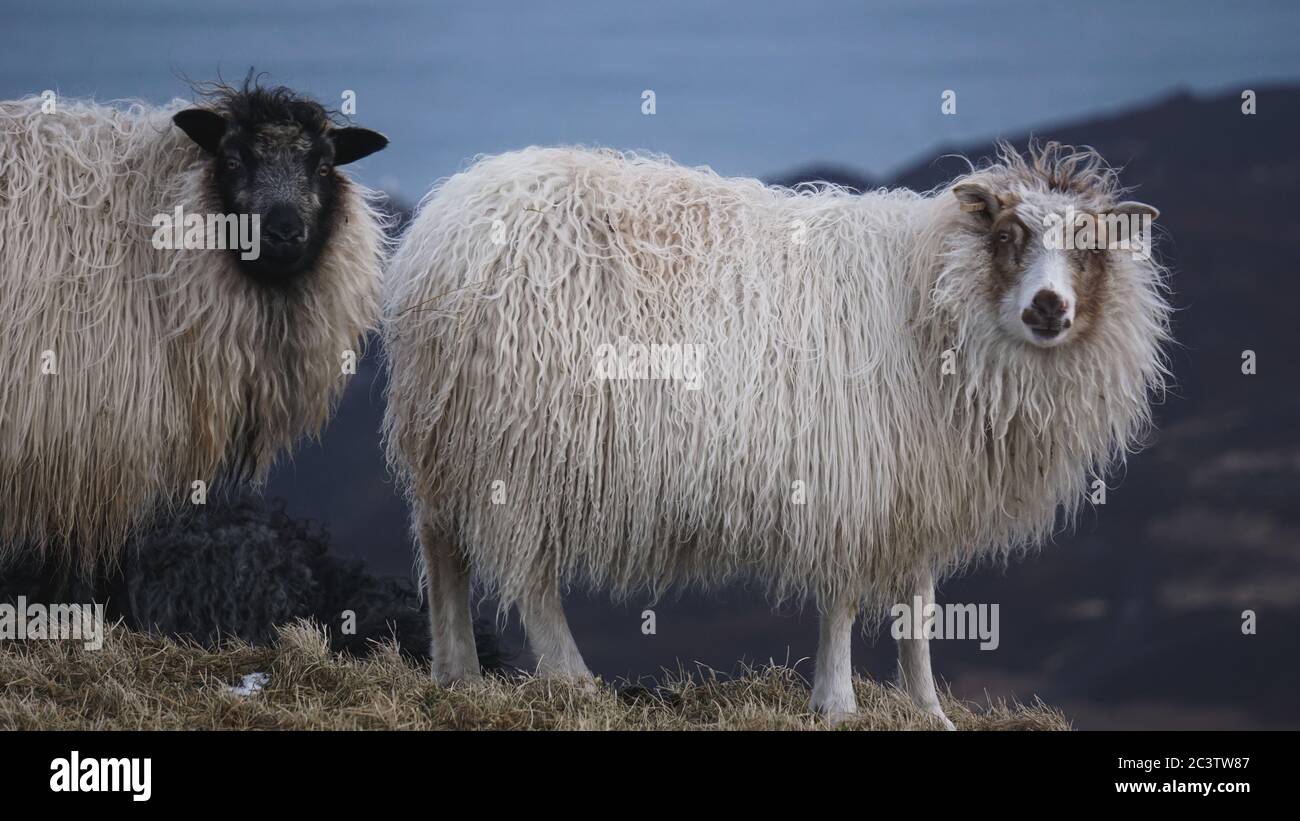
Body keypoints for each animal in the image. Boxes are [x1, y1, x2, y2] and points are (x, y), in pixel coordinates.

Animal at [382, 141, 1171, 726]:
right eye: (1010, 237)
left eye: (1091, 249)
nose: (1048, 307)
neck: (930, 298)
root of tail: (442, 224)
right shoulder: (850, 476)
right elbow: (844, 599)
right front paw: (839, 702)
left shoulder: (912, 486)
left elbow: (918, 610)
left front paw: (929, 709)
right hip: (525, 443)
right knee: (530, 578)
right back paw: (572, 680)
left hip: (449, 437)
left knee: (442, 548)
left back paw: (457, 675)